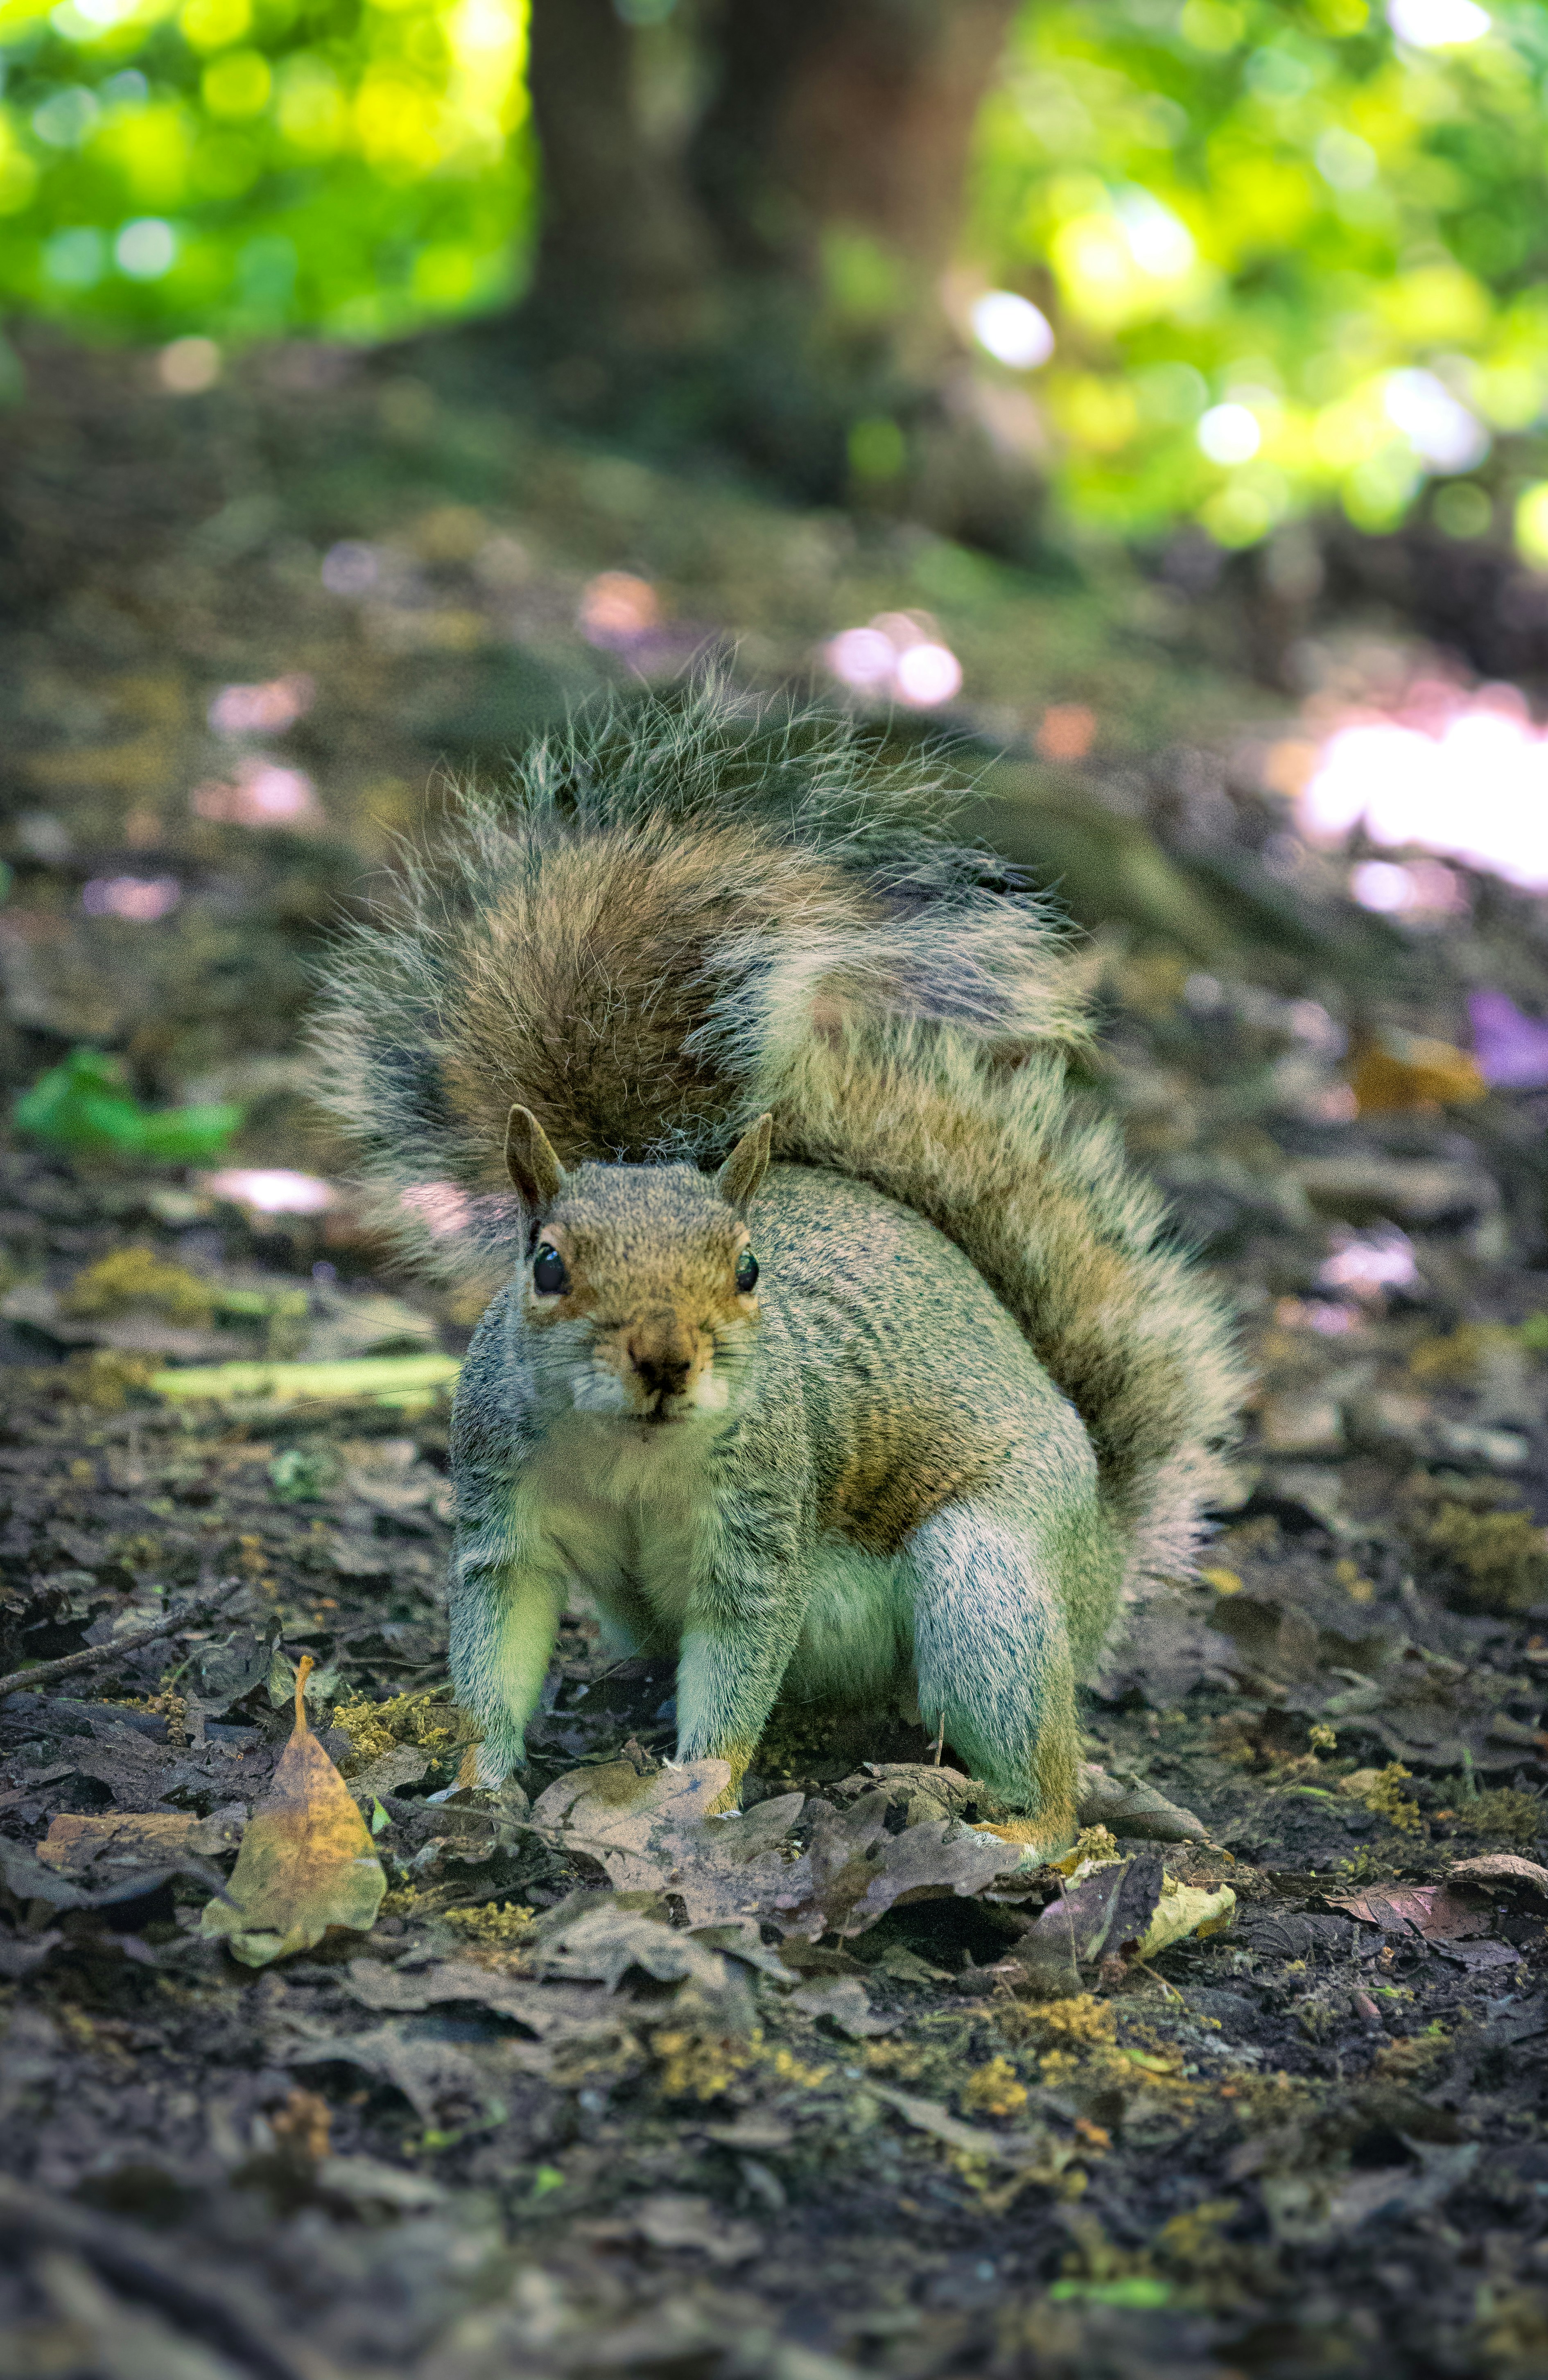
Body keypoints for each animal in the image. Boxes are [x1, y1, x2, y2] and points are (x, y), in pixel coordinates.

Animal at [312, 686, 1246, 1858]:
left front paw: (700, 1796)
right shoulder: (503, 1513)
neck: (630, 1452)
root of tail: (1103, 1561)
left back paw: (1019, 1829)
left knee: (1043, 1758)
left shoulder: (759, 1533)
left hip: (985, 1576)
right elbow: (496, 1647)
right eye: (548, 1264)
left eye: (750, 1267)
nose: (665, 1360)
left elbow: (738, 1669)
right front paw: (478, 1783)